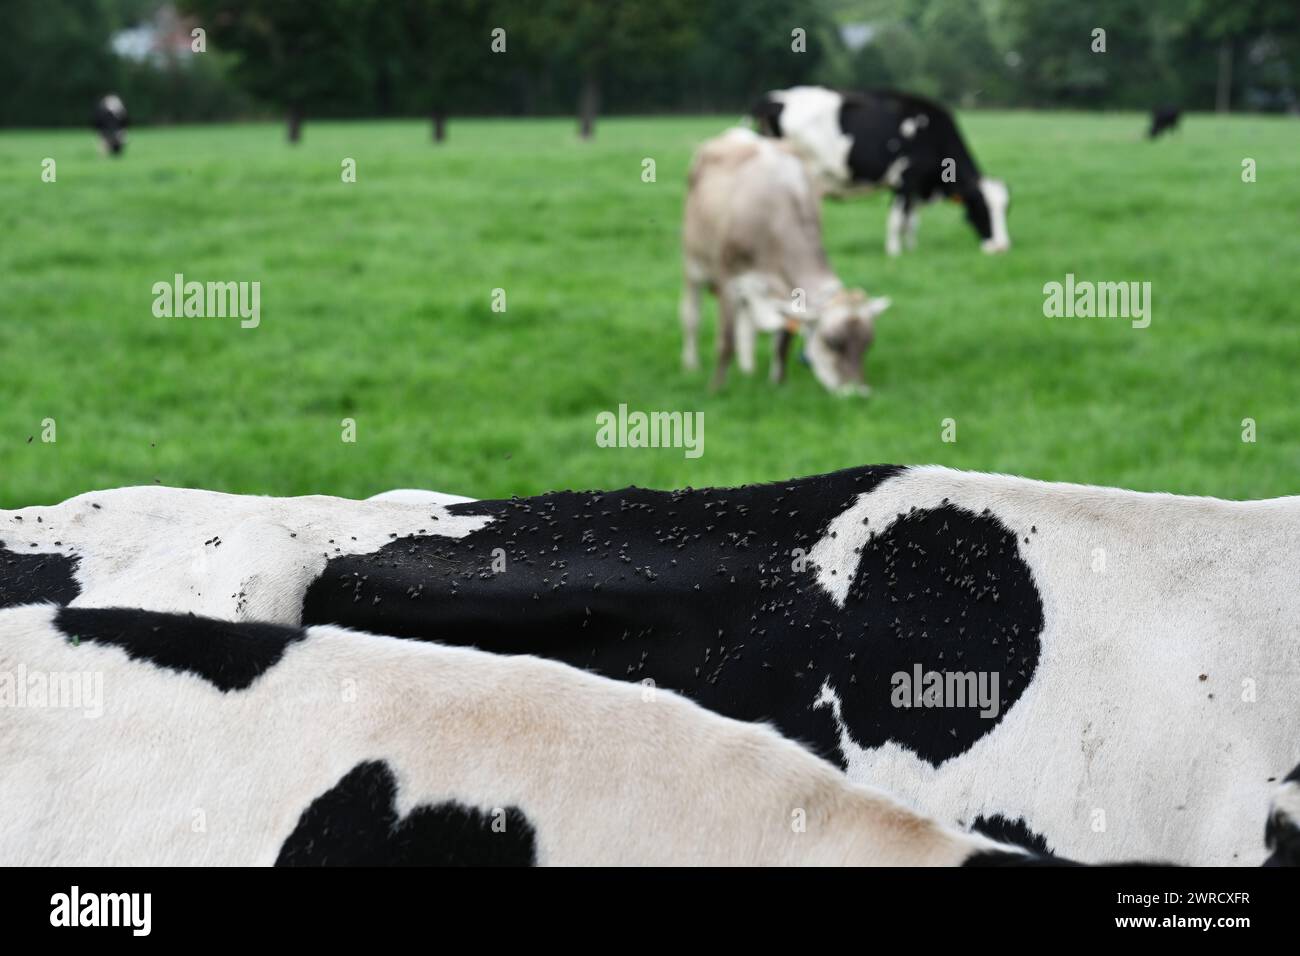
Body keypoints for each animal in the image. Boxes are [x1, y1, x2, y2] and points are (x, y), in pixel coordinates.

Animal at [681, 127, 892, 396]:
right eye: (832, 342)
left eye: (868, 343)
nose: (858, 393)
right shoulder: (728, 278)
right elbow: (725, 340)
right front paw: (716, 387)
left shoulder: (788, 292)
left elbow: (783, 342)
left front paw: (778, 383)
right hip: (693, 261)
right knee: (691, 315)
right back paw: (691, 364)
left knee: (747, 325)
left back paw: (747, 368)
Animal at [753, 86, 1011, 256]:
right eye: (981, 208)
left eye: (1006, 210)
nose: (1001, 247)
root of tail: (774, 99)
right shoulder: (905, 178)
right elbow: (897, 219)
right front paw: (894, 252)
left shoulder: (915, 186)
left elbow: (911, 221)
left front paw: (912, 248)